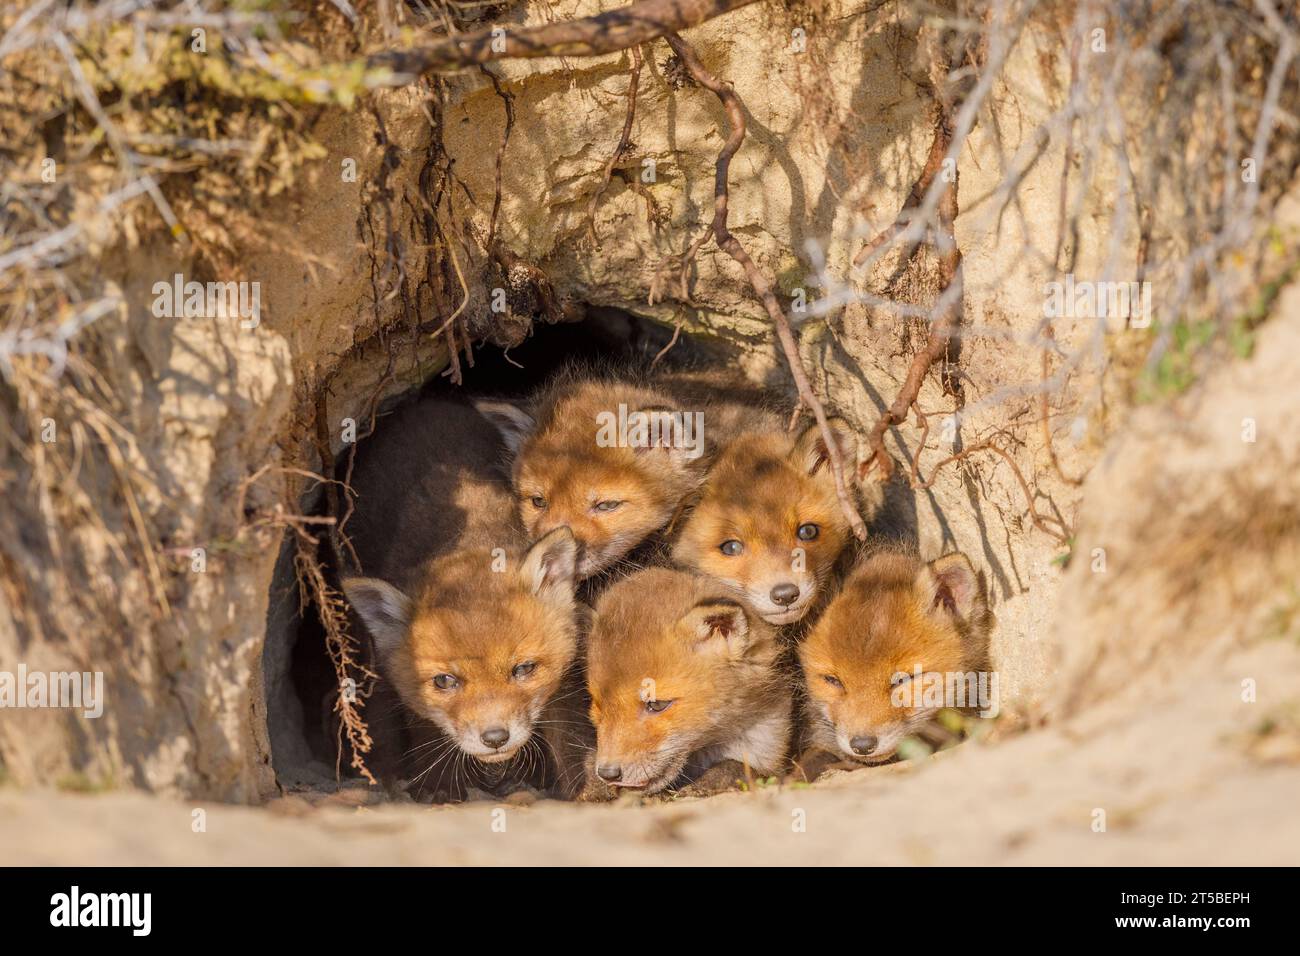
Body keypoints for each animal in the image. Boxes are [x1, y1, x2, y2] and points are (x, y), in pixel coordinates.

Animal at [338, 397, 591, 801]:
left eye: (523, 669)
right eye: (444, 681)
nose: (495, 737)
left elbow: (566, 729)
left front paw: (583, 788)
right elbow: (425, 726)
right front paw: (439, 786)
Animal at [583, 567, 793, 796]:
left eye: (657, 704)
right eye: (598, 705)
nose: (608, 773)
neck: (708, 748)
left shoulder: (768, 753)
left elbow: (735, 767)